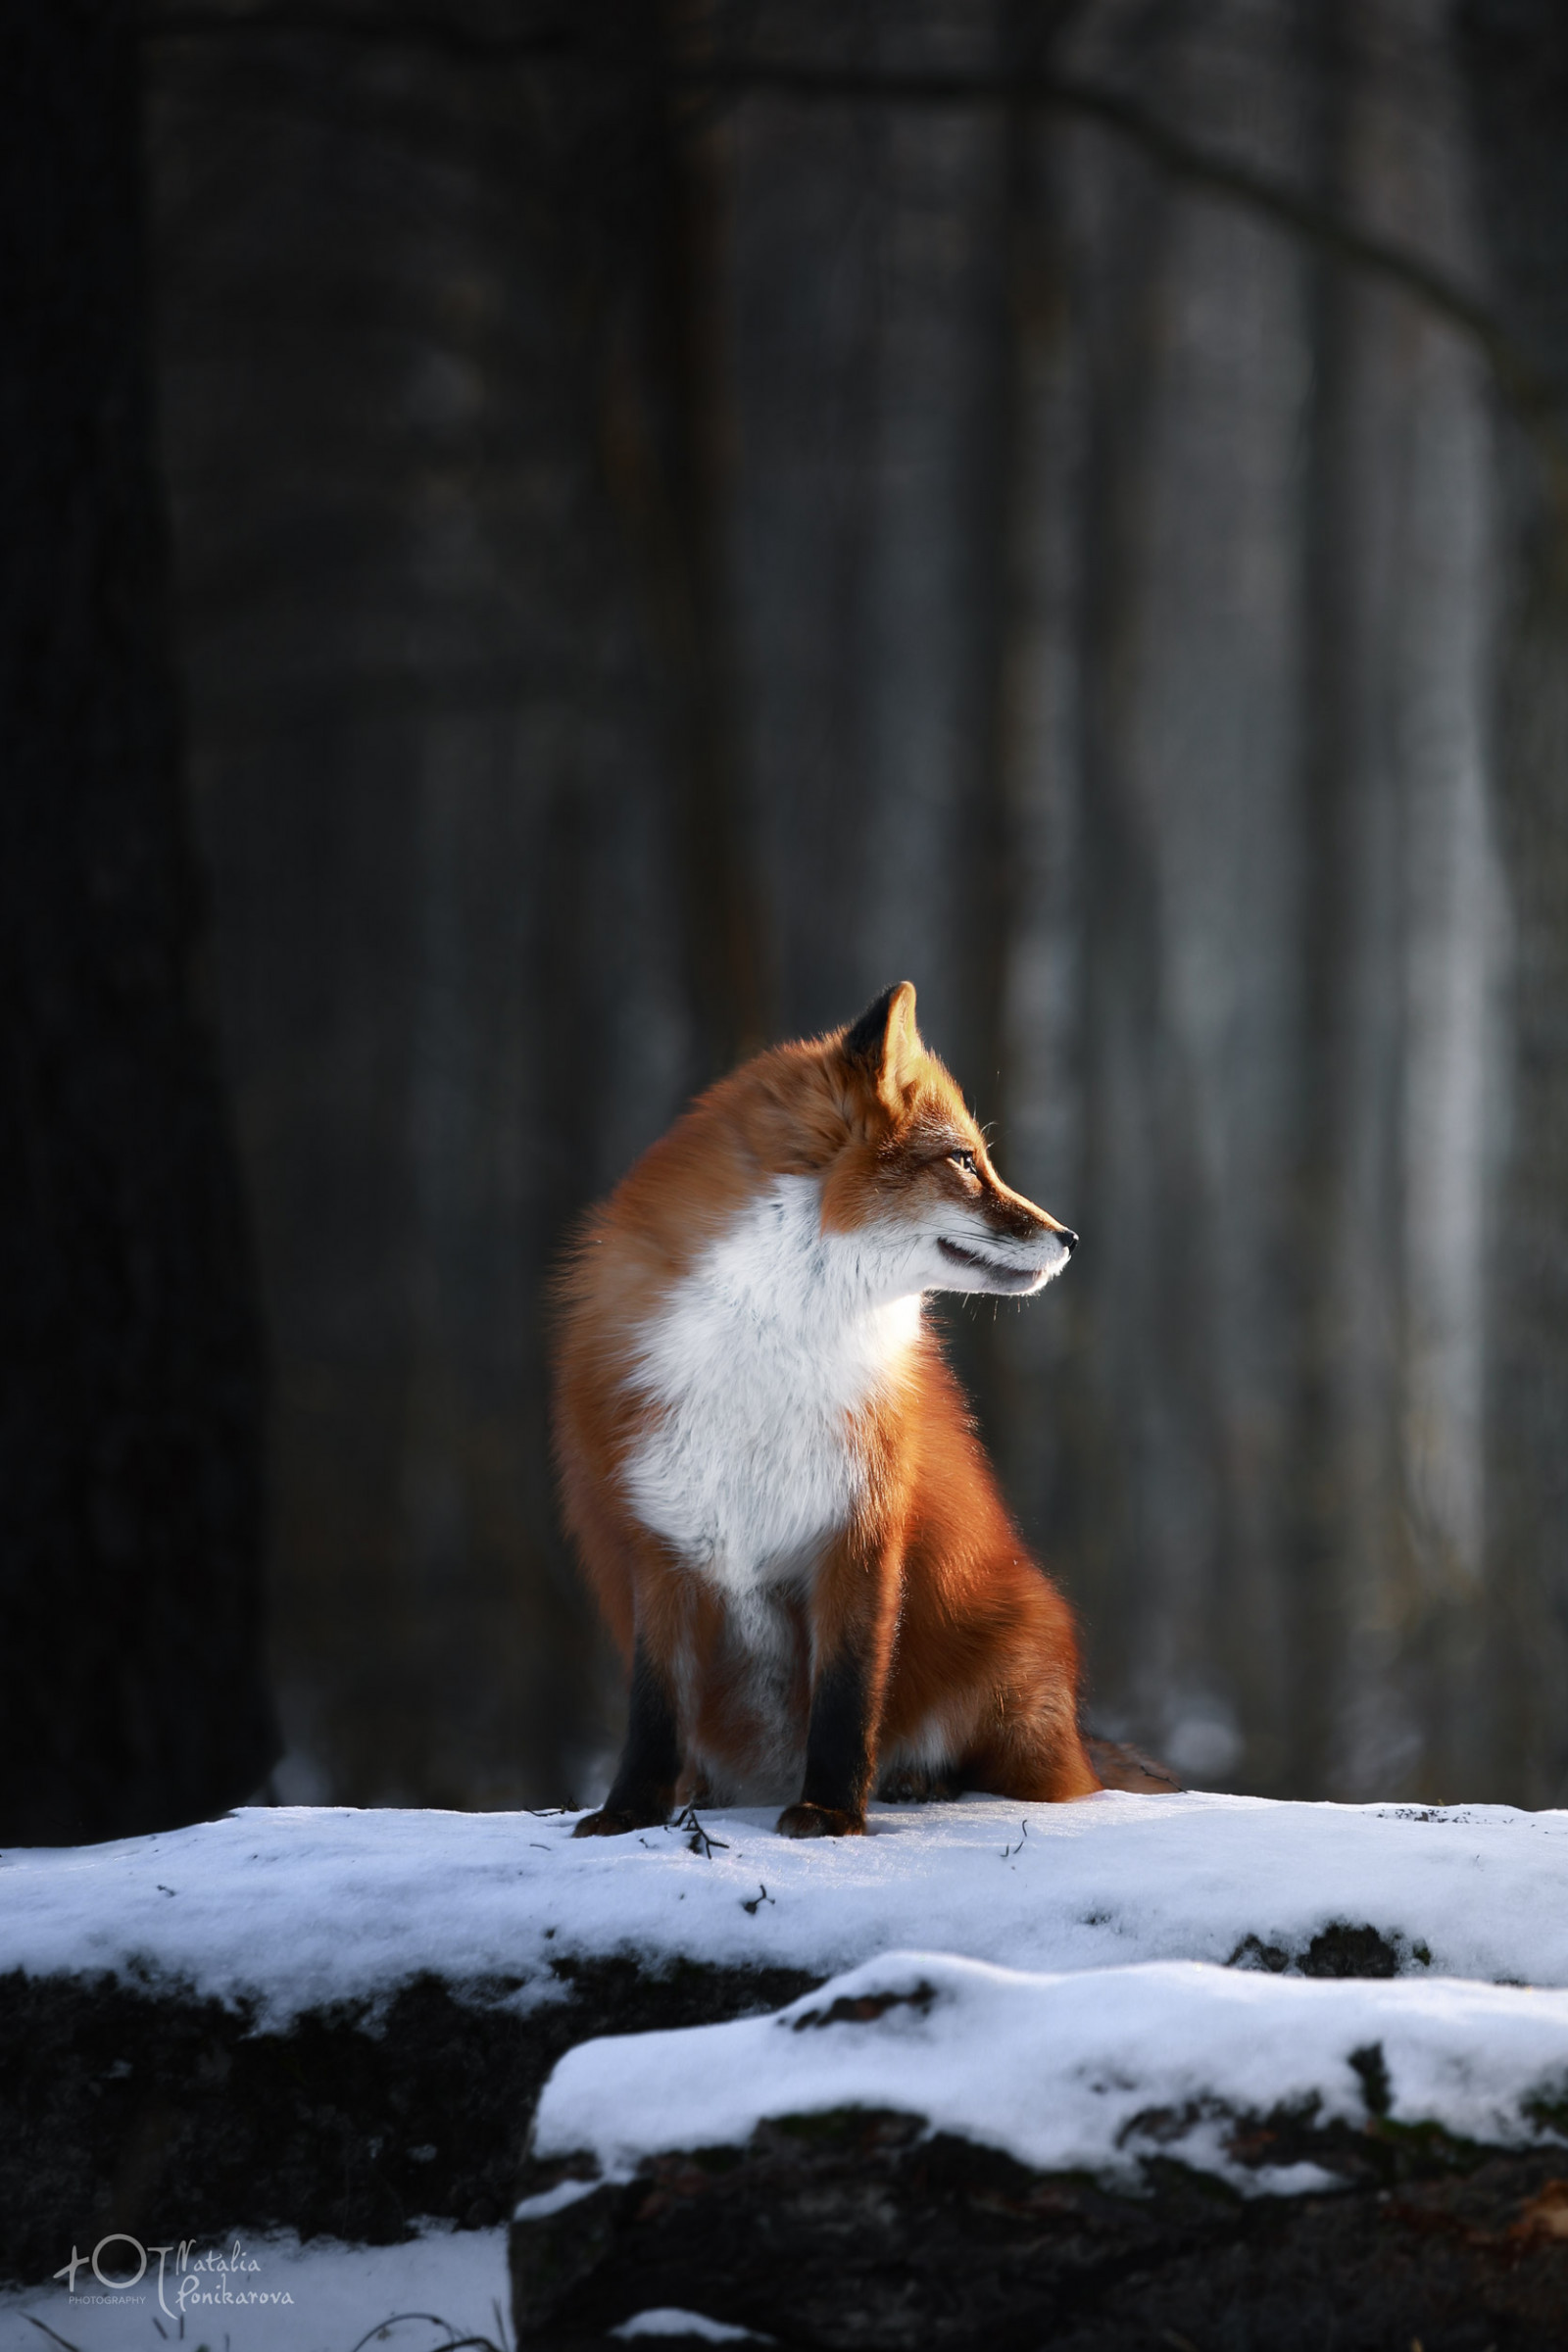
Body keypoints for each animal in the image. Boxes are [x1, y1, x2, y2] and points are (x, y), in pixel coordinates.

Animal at [554, 980, 1112, 1840]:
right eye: (964, 1160)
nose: (1070, 1237)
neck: (766, 1350)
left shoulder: (860, 1527)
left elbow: (849, 1695)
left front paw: (831, 1810)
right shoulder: (665, 1540)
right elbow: (653, 1708)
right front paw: (628, 1812)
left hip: (1013, 1659)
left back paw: (919, 1782)